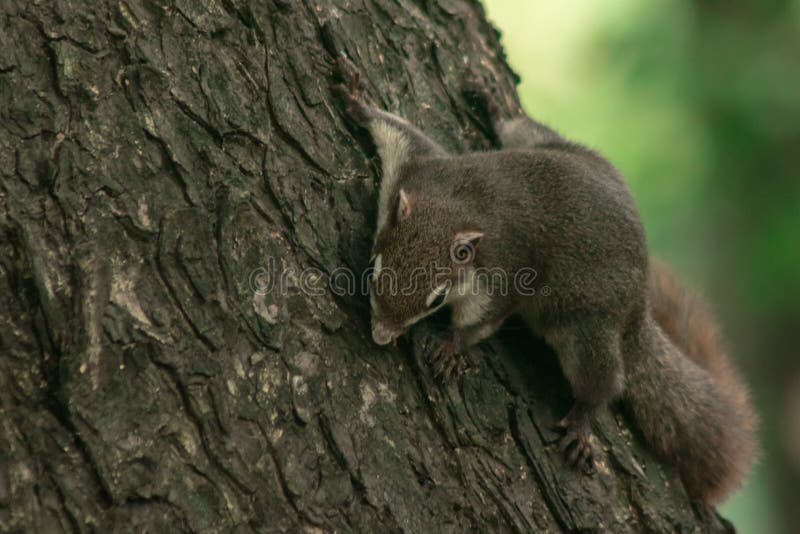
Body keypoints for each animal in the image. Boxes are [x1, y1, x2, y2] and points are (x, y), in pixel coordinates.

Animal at [331, 56, 757, 505]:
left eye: (436, 299)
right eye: (376, 265)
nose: (381, 335)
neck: (460, 208)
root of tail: (637, 302)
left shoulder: (505, 275)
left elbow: (482, 322)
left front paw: (451, 346)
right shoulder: (421, 168)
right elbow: (396, 129)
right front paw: (356, 99)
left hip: (586, 331)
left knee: (605, 380)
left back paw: (583, 423)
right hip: (545, 144)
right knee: (522, 129)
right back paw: (492, 103)